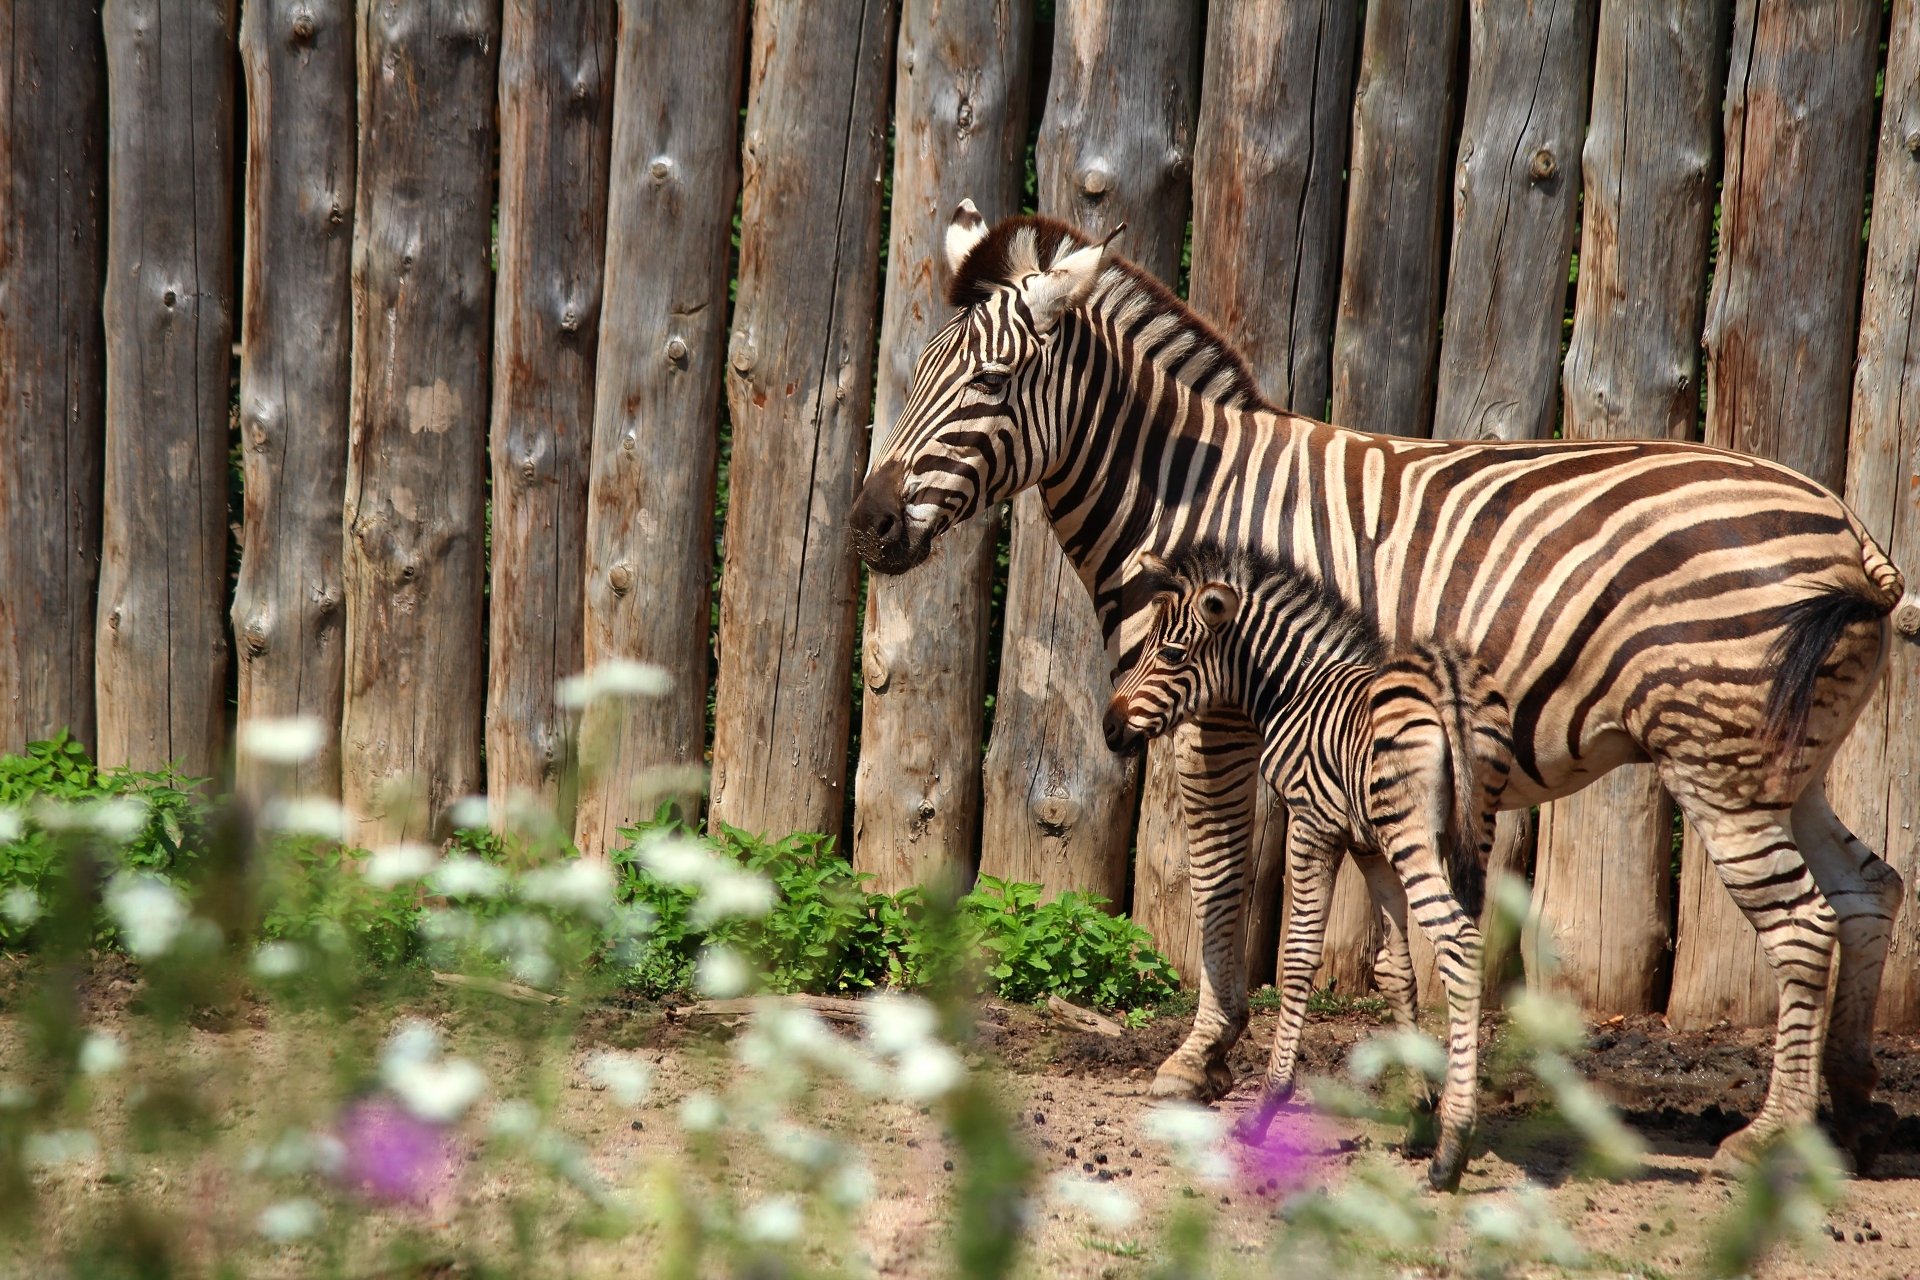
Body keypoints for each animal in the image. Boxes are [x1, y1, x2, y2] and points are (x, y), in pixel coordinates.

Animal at [1102, 541, 1512, 1189]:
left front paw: (1268, 1103)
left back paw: (1454, 1150)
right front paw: (1418, 1113)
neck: (1297, 687)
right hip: (1471, 825)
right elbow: (1397, 970)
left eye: (1169, 654)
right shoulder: (1370, 847)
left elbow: (1297, 958)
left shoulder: (1313, 822)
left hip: (1415, 837)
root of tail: (1445, 676)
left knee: (1460, 944)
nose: (1110, 727)